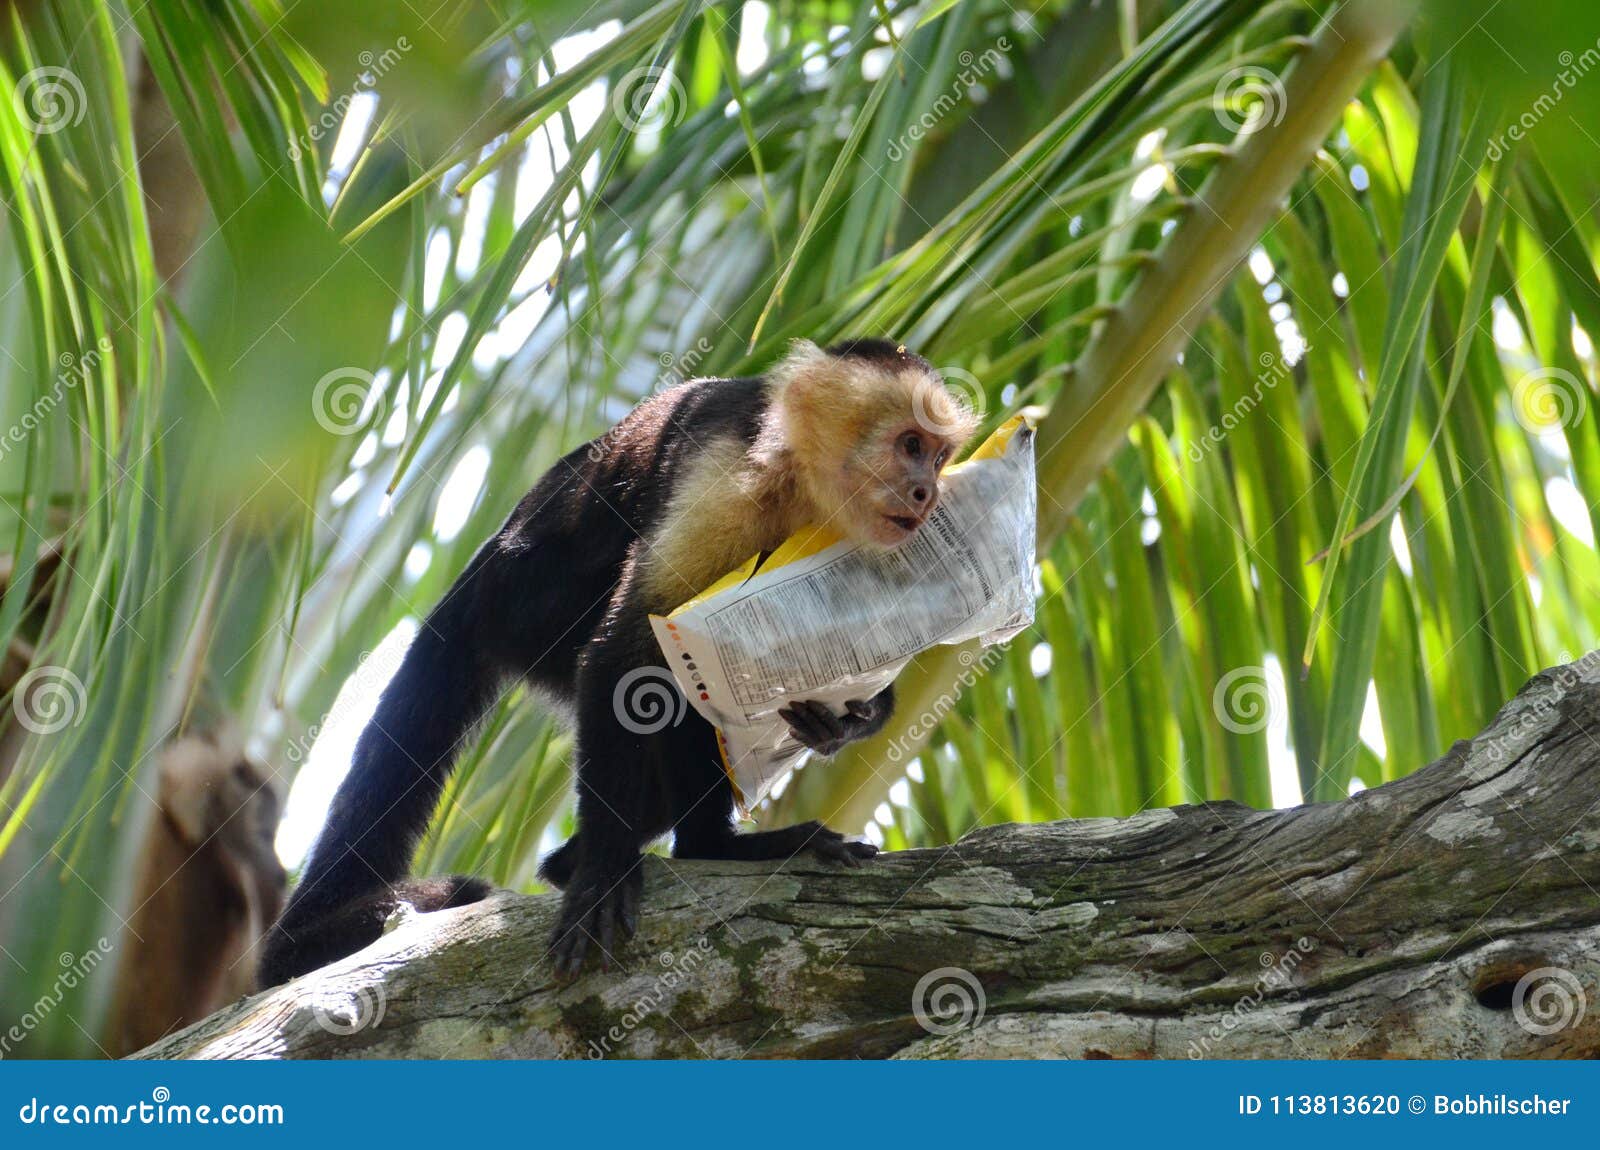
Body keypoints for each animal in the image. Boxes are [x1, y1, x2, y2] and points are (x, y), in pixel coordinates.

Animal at [258, 338, 977, 985]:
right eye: (910, 446)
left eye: (940, 456)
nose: (926, 492)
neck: (801, 484)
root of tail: (484, 569)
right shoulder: (725, 482)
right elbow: (625, 660)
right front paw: (604, 873)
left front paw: (850, 716)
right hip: (529, 601)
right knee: (656, 669)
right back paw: (695, 849)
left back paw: (610, 858)